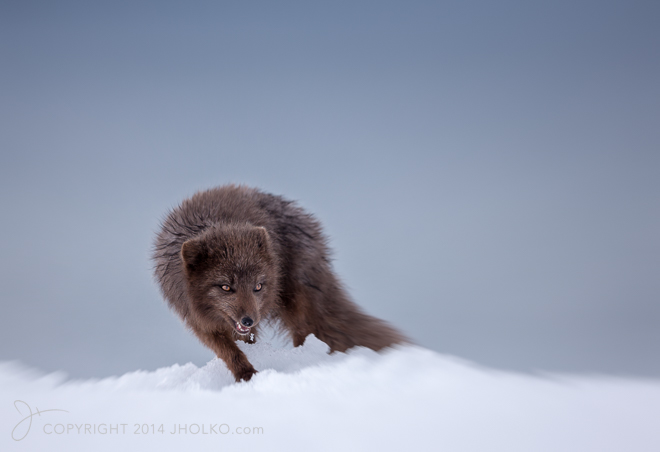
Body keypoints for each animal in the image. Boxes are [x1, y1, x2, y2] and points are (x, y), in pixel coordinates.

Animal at [152, 185, 407, 382]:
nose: (248, 320)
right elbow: (228, 351)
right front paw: (246, 374)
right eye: (225, 287)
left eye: (257, 286)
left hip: (298, 302)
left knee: (305, 332)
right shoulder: (199, 321)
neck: (217, 224)